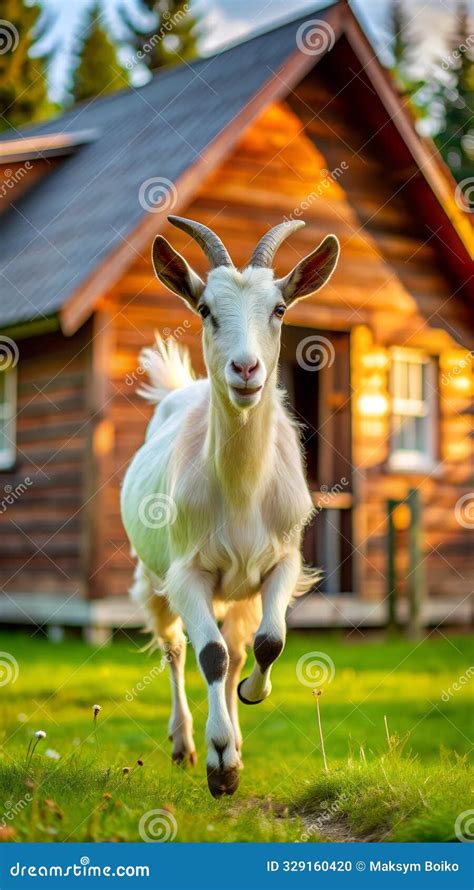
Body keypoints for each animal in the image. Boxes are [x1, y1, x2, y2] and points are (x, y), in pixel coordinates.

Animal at [121, 216, 339, 797]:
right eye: (204, 309)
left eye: (280, 308)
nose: (246, 368)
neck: (241, 493)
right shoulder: (187, 573)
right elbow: (210, 655)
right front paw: (221, 764)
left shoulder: (282, 562)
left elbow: (268, 642)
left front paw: (250, 699)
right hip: (152, 578)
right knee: (177, 650)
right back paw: (184, 743)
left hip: (240, 591)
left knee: (240, 646)